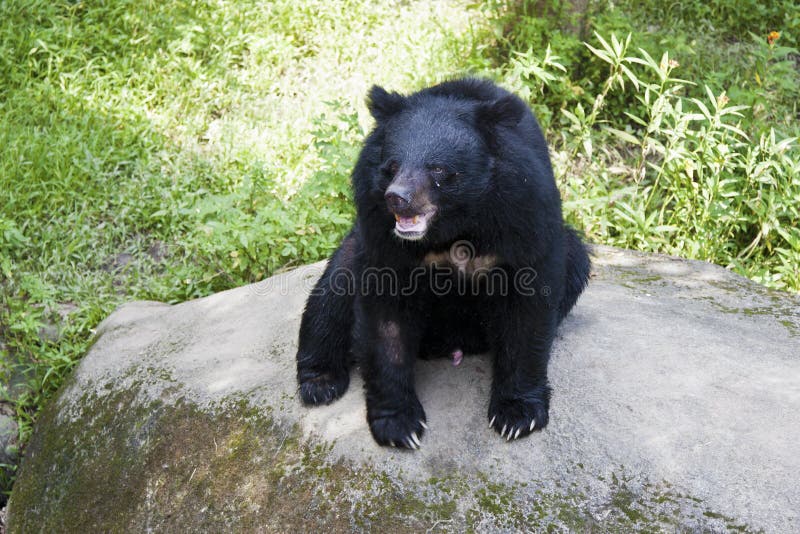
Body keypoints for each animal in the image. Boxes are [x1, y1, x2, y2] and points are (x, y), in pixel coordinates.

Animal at [296, 78, 590, 449]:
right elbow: (385, 315)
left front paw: (517, 416)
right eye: (393, 165)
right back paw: (320, 382)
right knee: (330, 295)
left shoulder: (524, 208)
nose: (397, 198)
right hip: (350, 250)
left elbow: (529, 305)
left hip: (571, 255)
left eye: (437, 169)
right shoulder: (378, 225)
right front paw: (400, 425)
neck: (456, 221)